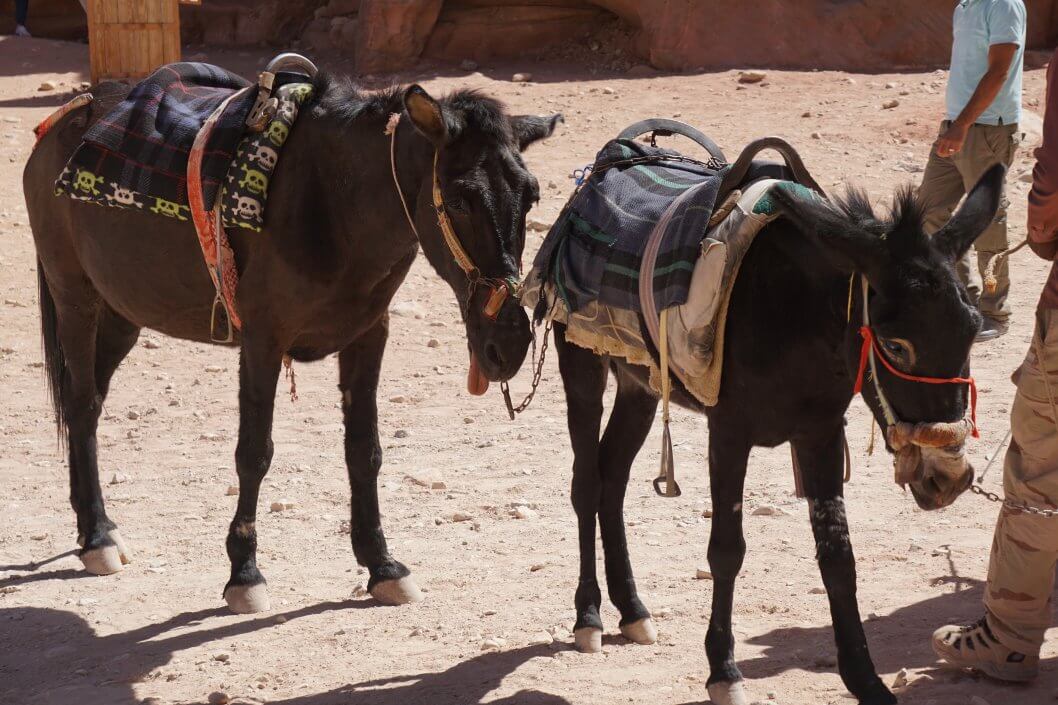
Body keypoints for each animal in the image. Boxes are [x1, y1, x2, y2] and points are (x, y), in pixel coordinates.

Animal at [23, 72, 560, 613]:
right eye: (459, 200)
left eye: (532, 198)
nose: (509, 343)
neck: (334, 204)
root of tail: (68, 115)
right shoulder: (262, 340)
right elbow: (253, 453)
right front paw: (244, 573)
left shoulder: (369, 335)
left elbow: (364, 450)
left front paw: (382, 564)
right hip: (76, 296)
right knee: (82, 404)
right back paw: (97, 537)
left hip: (121, 314)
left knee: (86, 401)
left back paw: (94, 526)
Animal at [553, 163, 1004, 705]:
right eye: (896, 345)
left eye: (974, 330)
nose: (950, 478)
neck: (794, 316)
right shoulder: (728, 433)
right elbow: (726, 551)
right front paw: (723, 672)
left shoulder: (820, 432)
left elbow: (838, 557)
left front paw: (866, 679)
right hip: (581, 364)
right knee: (587, 484)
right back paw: (589, 615)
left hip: (640, 383)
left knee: (613, 478)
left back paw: (633, 610)